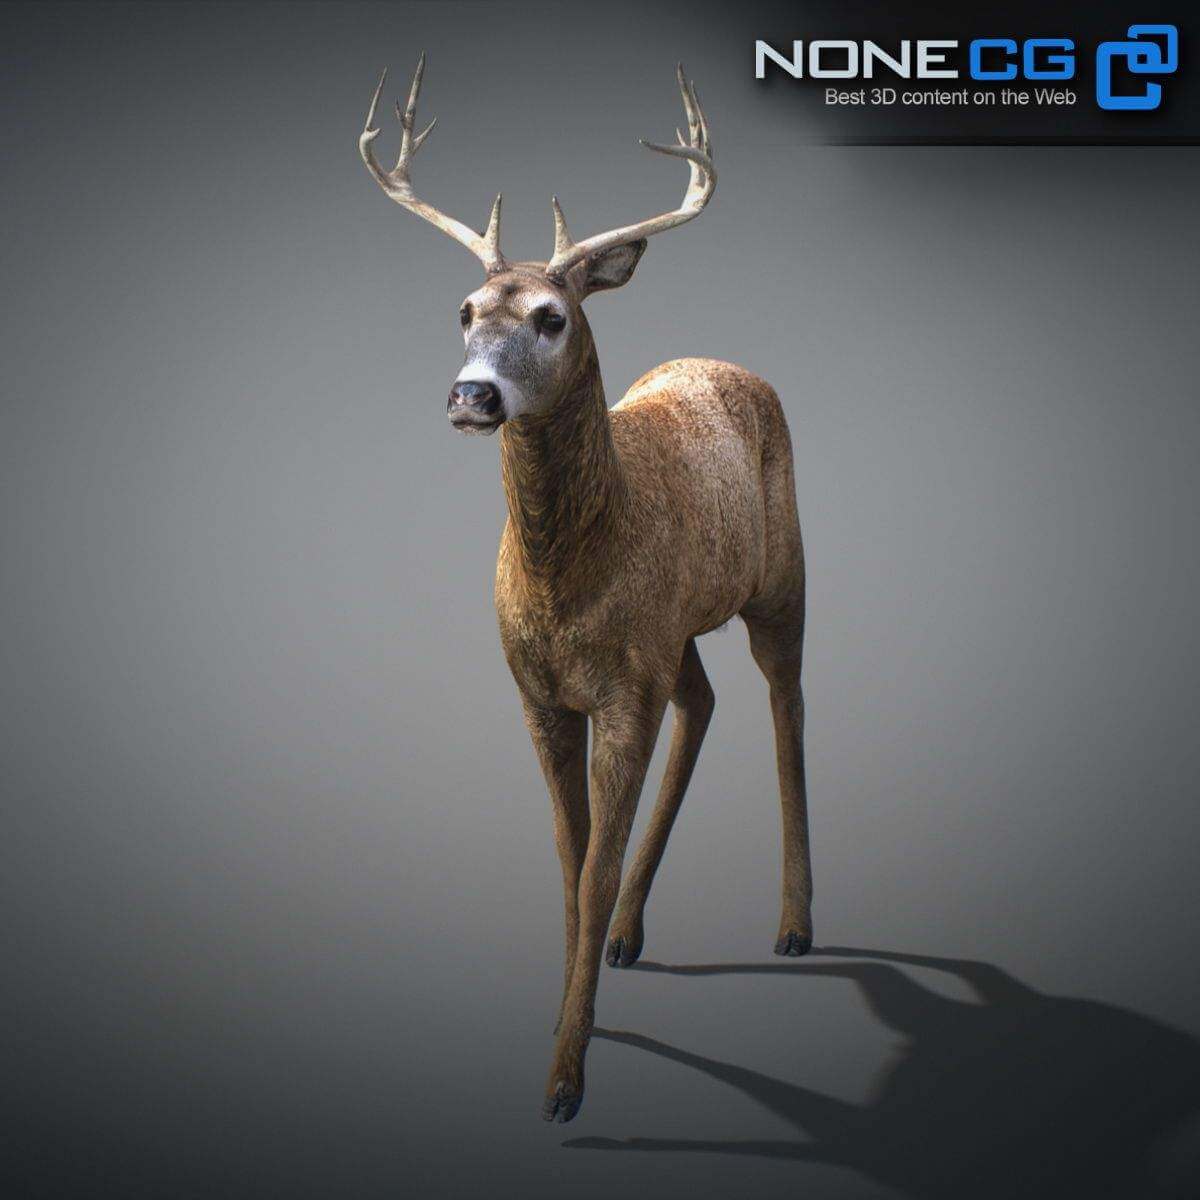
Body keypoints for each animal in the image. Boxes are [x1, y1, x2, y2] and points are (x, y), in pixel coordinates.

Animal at [360, 56, 812, 1123]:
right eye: (465, 311)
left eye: (551, 316)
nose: (471, 396)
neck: (567, 591)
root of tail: (732, 362)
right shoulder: (541, 692)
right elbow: (572, 864)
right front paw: (572, 1011)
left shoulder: (621, 692)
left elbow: (596, 860)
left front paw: (567, 1078)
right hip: (676, 634)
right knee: (707, 700)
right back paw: (630, 938)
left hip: (781, 580)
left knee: (786, 704)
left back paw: (793, 925)